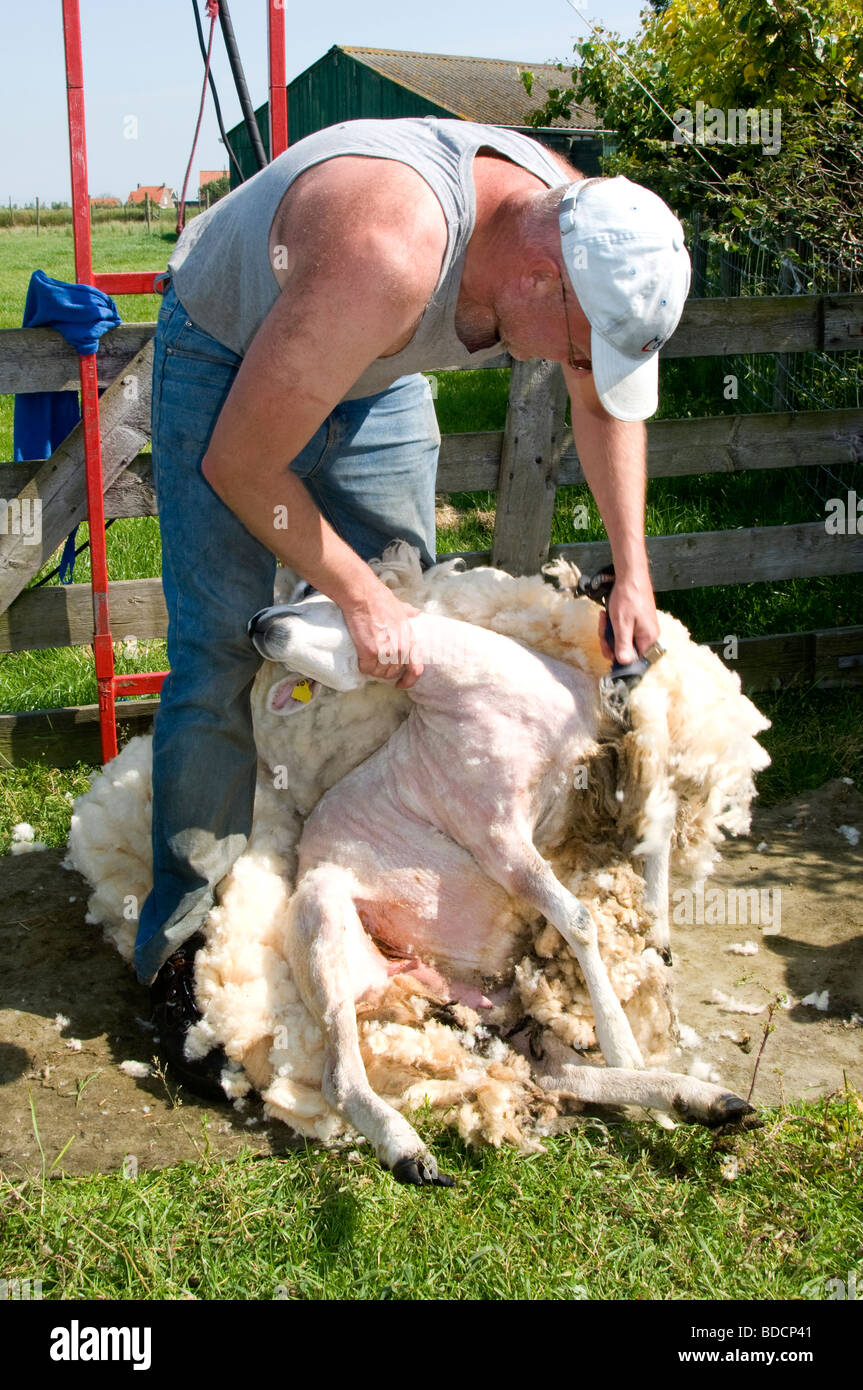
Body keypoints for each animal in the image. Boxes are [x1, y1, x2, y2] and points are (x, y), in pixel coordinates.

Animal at [65, 542, 771, 1170]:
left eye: (323, 595)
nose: (258, 624)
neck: (480, 692)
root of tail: (424, 982)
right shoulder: (495, 833)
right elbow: (578, 919)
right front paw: (622, 1038)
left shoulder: (588, 768)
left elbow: (655, 824)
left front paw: (659, 934)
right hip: (325, 929)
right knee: (341, 1077)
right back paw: (406, 1149)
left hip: (498, 1011)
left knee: (554, 1073)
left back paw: (705, 1100)